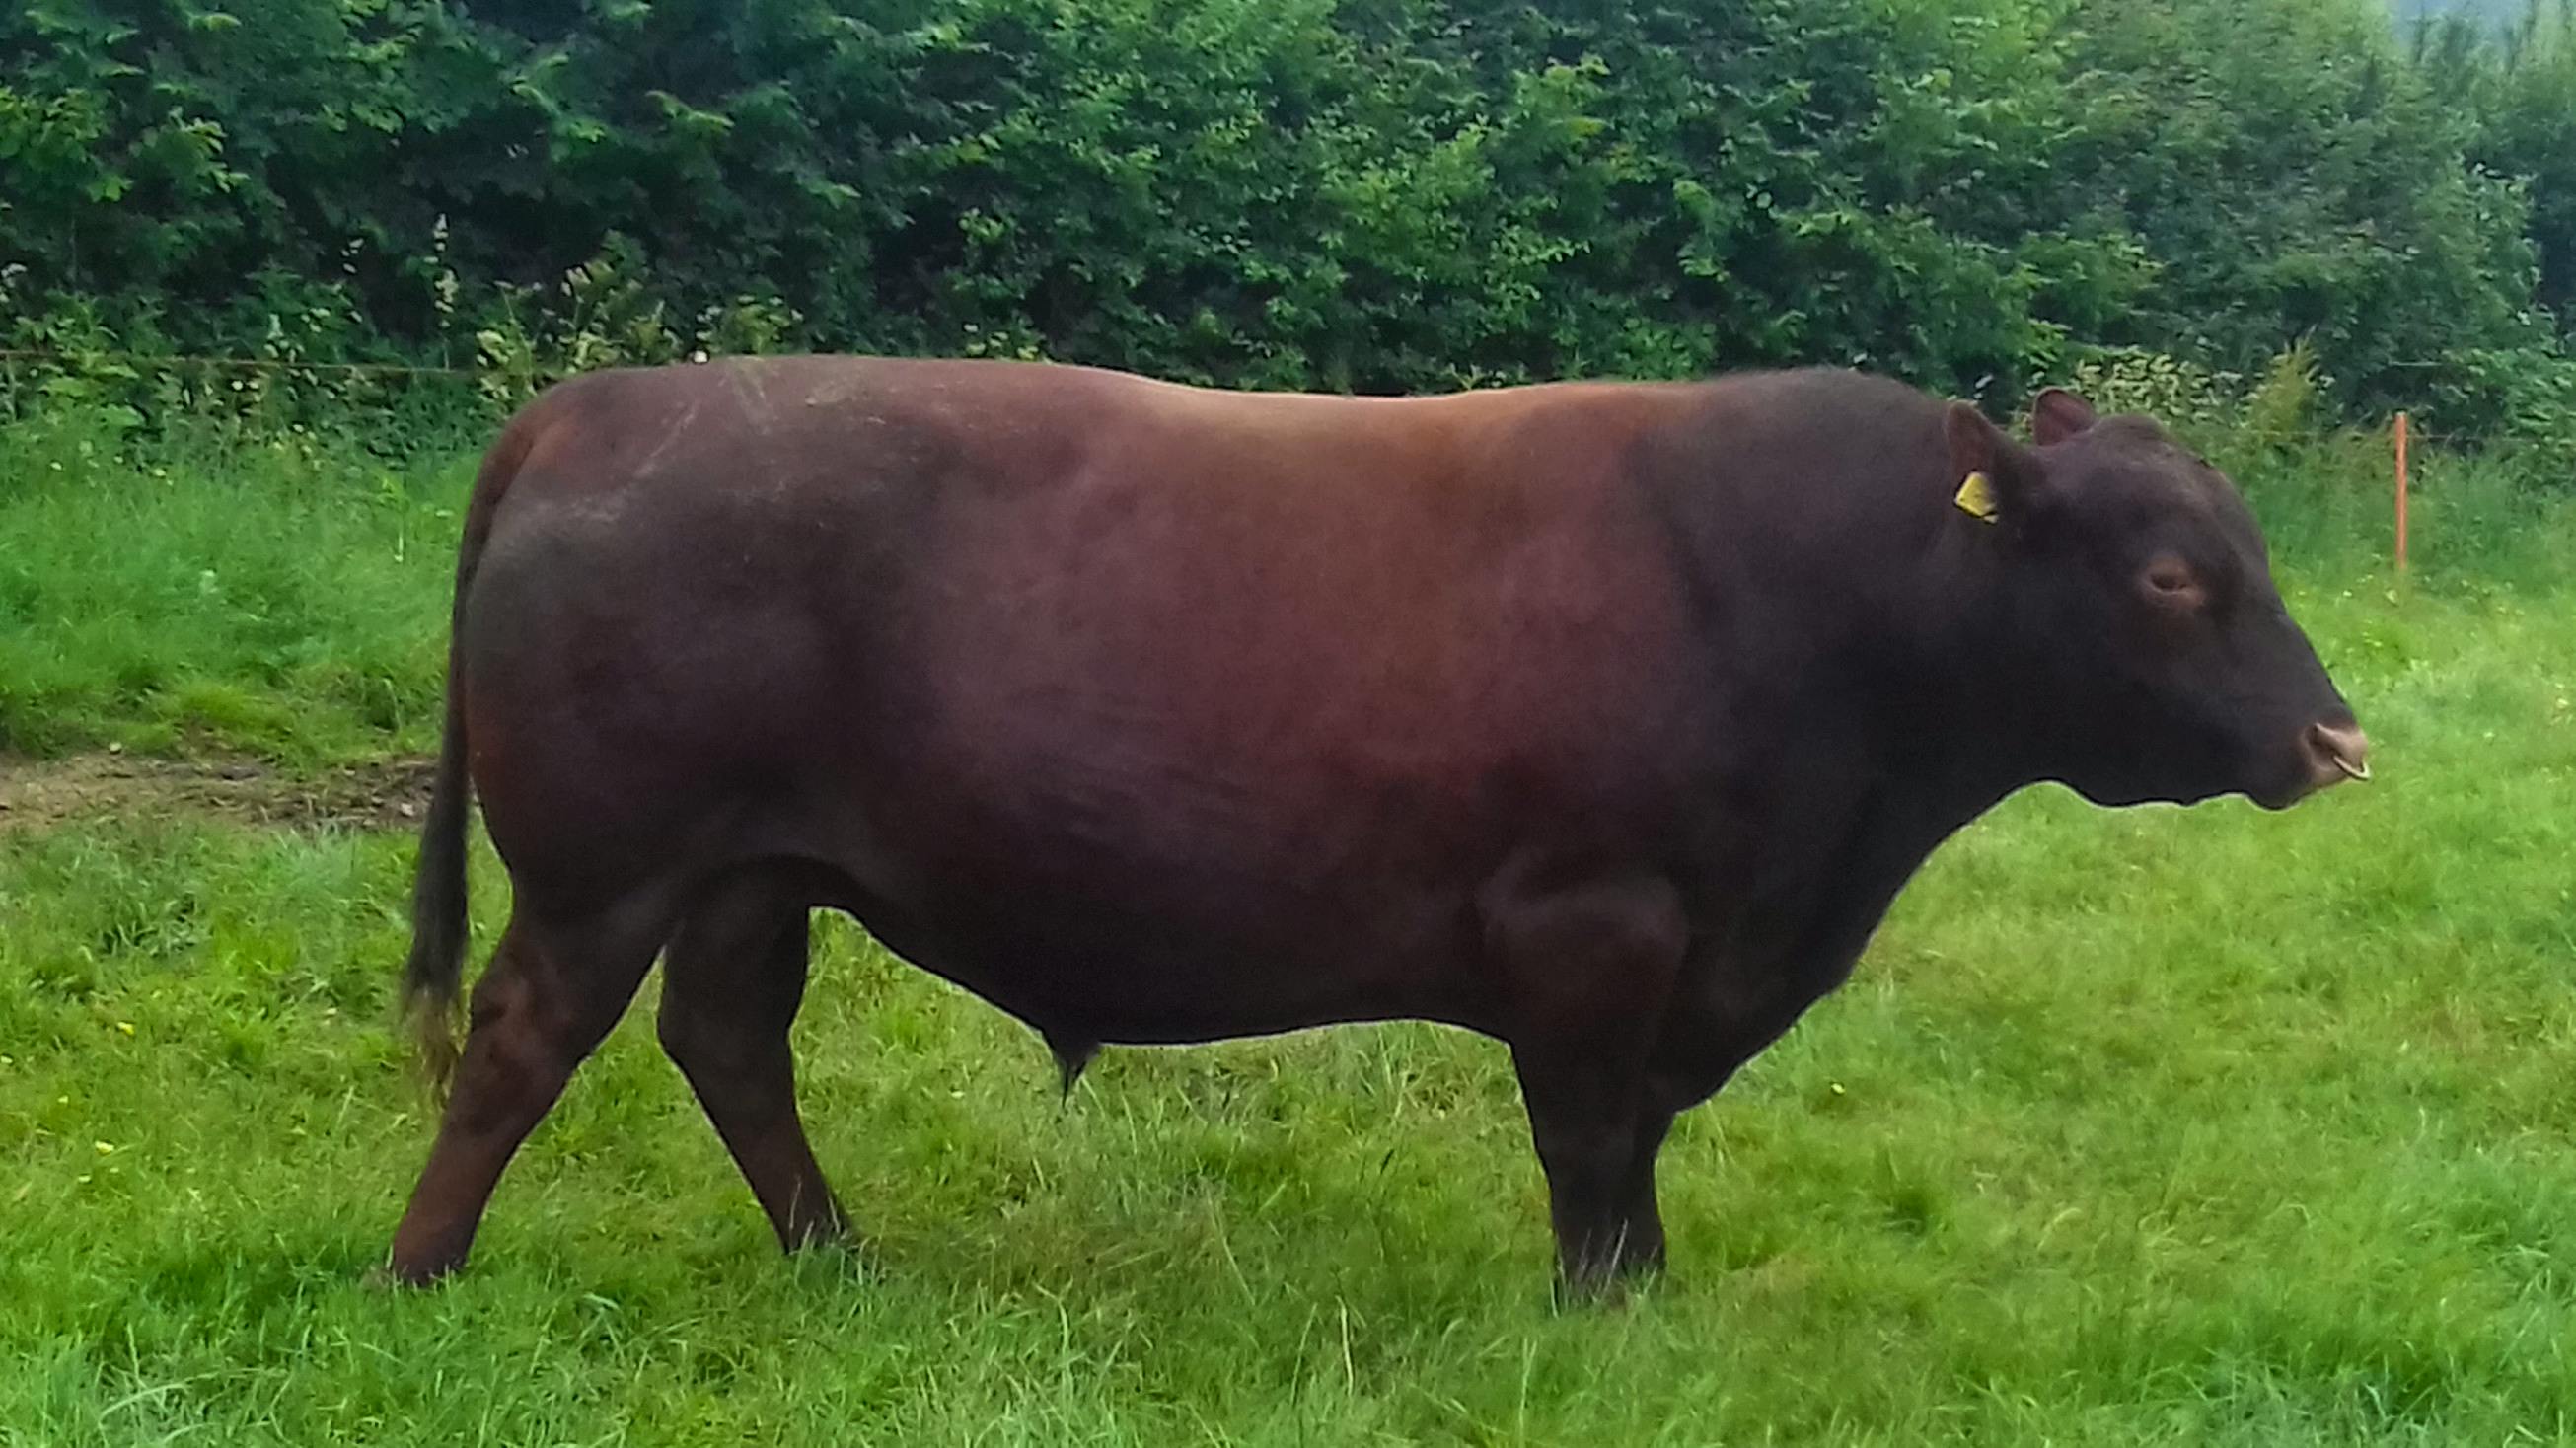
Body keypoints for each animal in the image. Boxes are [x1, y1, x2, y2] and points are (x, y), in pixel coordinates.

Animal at [384, 358, 2366, 1296]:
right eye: (2173, 574)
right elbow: (1588, 1133)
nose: (2337, 736)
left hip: (752, 866)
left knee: (728, 1039)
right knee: (520, 1042)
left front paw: (1644, 1287)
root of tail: (609, 401)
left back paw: (839, 1256)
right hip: (608, 864)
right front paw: (1604, 1311)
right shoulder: (1595, 920)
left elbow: (1634, 1138)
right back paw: (421, 1268)